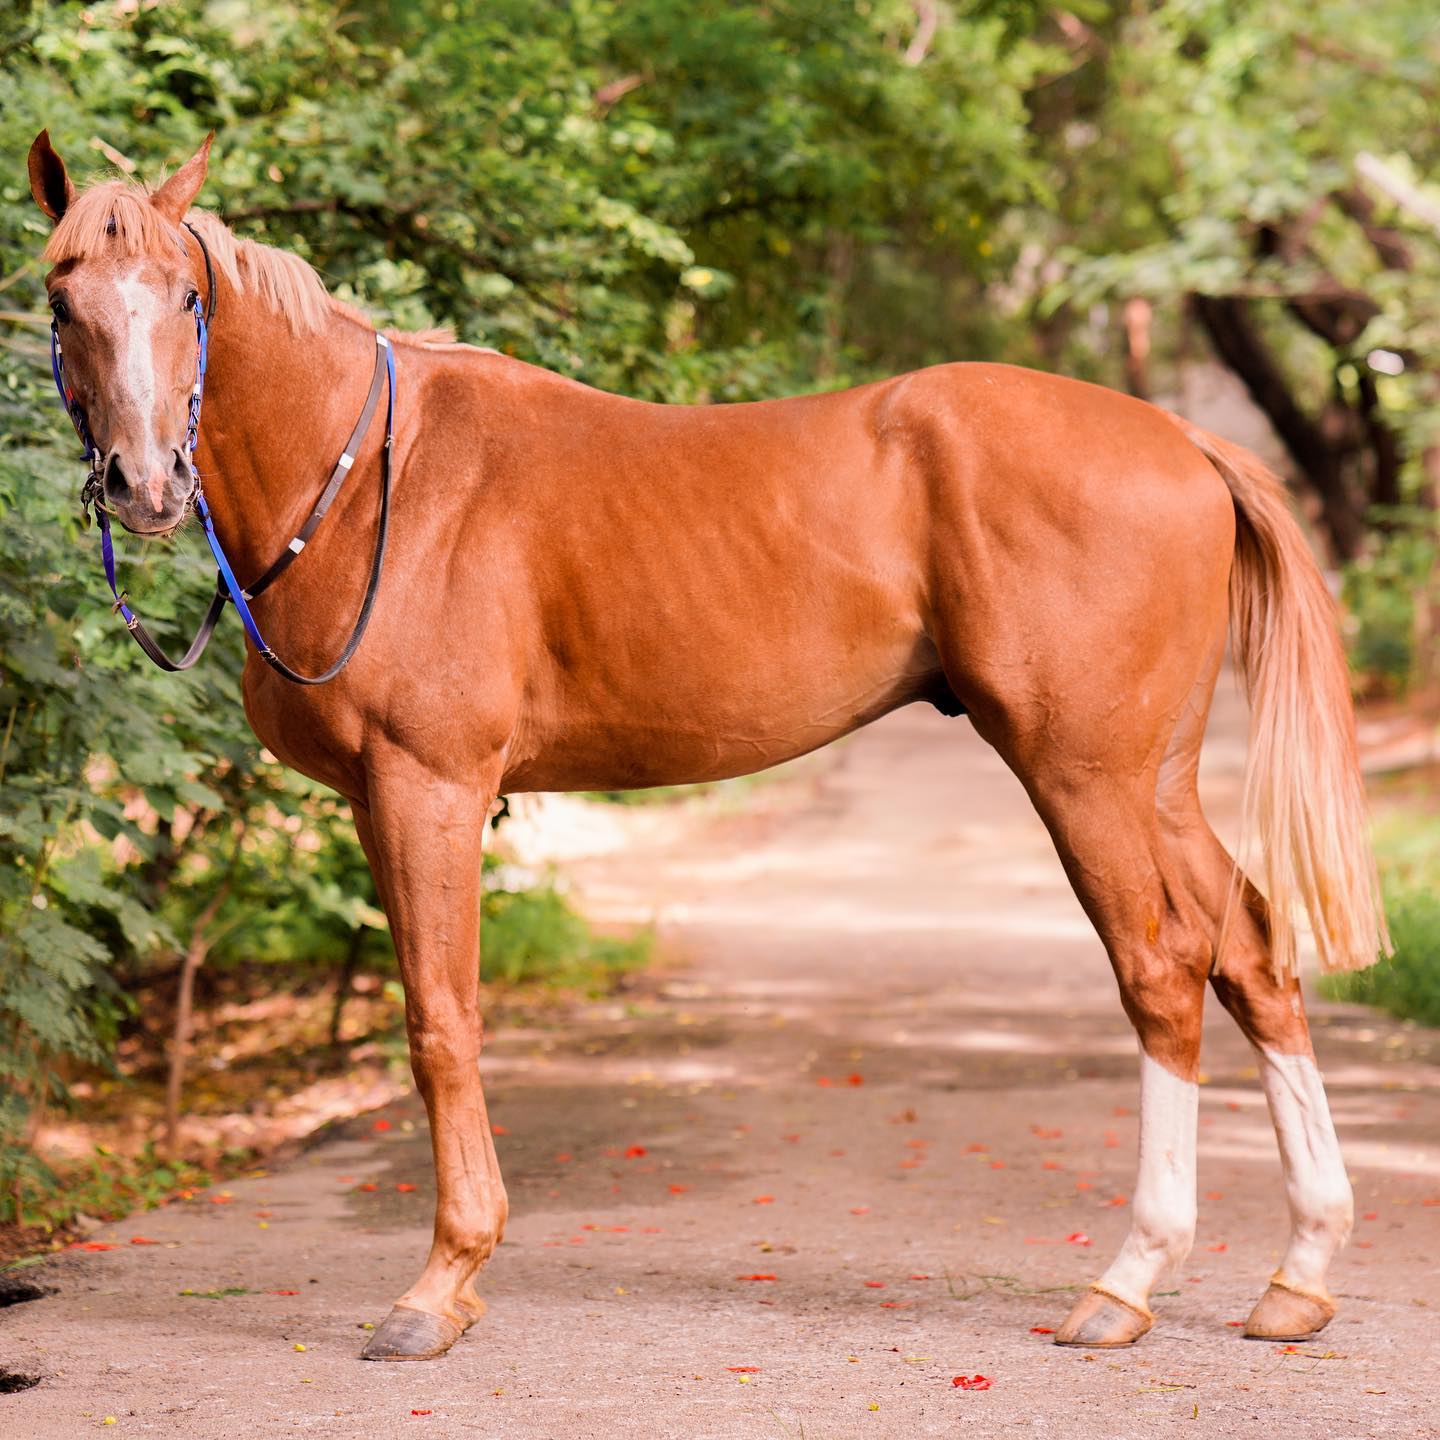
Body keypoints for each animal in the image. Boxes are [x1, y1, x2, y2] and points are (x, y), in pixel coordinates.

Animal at [27, 131, 1387, 1362]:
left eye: (188, 297)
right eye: (62, 295)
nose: (144, 484)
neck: (371, 483)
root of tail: (1181, 442)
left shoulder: (430, 788)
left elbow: (440, 1024)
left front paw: (440, 1287)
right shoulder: (379, 799)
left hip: (1085, 776)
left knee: (1160, 970)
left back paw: (1127, 1282)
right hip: (1158, 782)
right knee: (1251, 951)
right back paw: (1300, 1275)